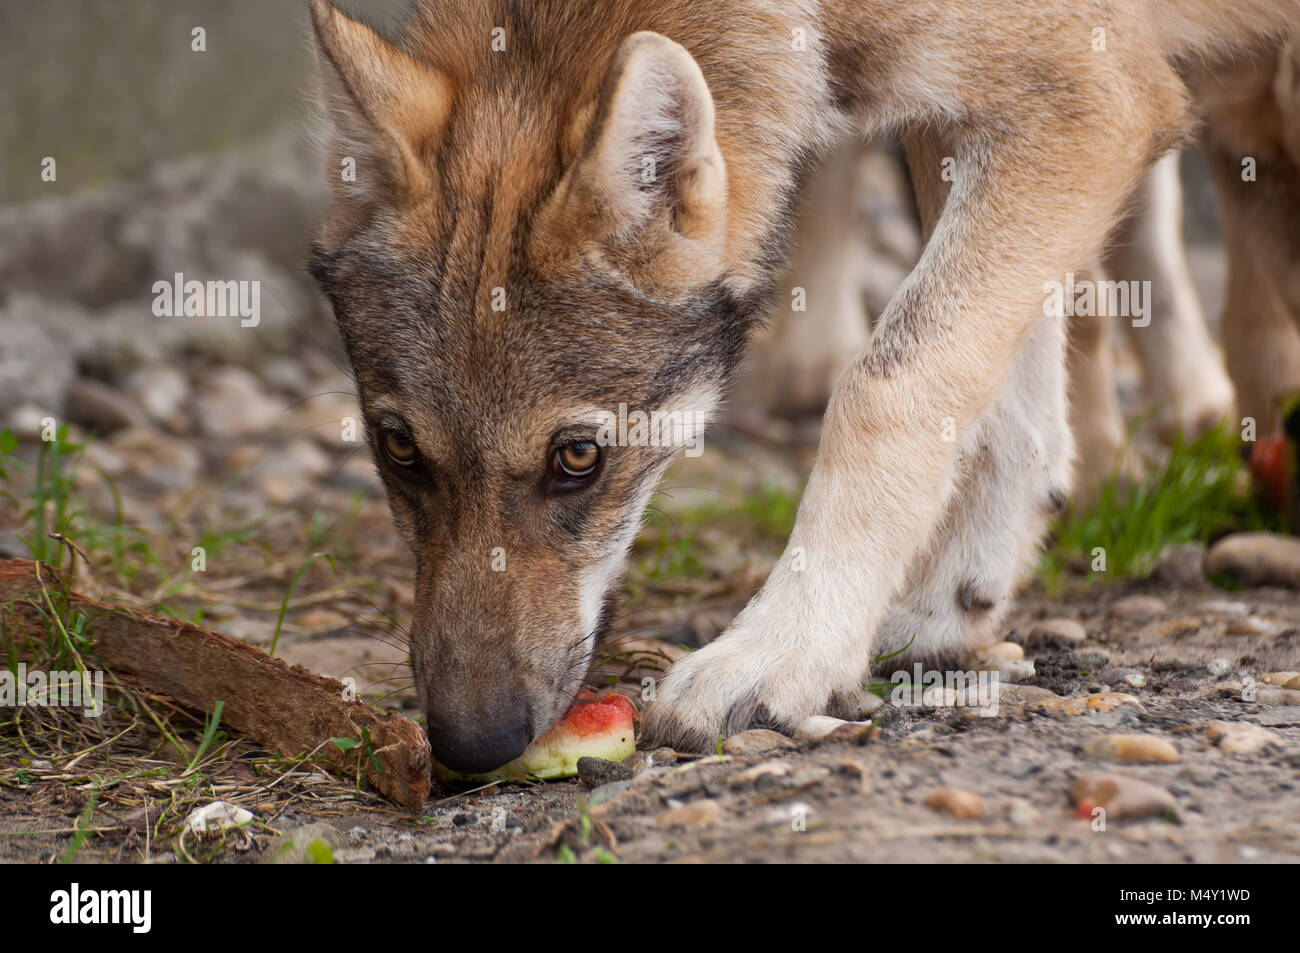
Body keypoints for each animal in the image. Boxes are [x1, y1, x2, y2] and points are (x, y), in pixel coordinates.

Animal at [307, 0, 1300, 771]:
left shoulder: (1090, 98)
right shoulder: (977, 114)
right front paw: (961, 593)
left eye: (577, 458)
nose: (470, 741)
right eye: (399, 449)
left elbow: (889, 383)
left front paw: (784, 647)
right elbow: (1006, 403)